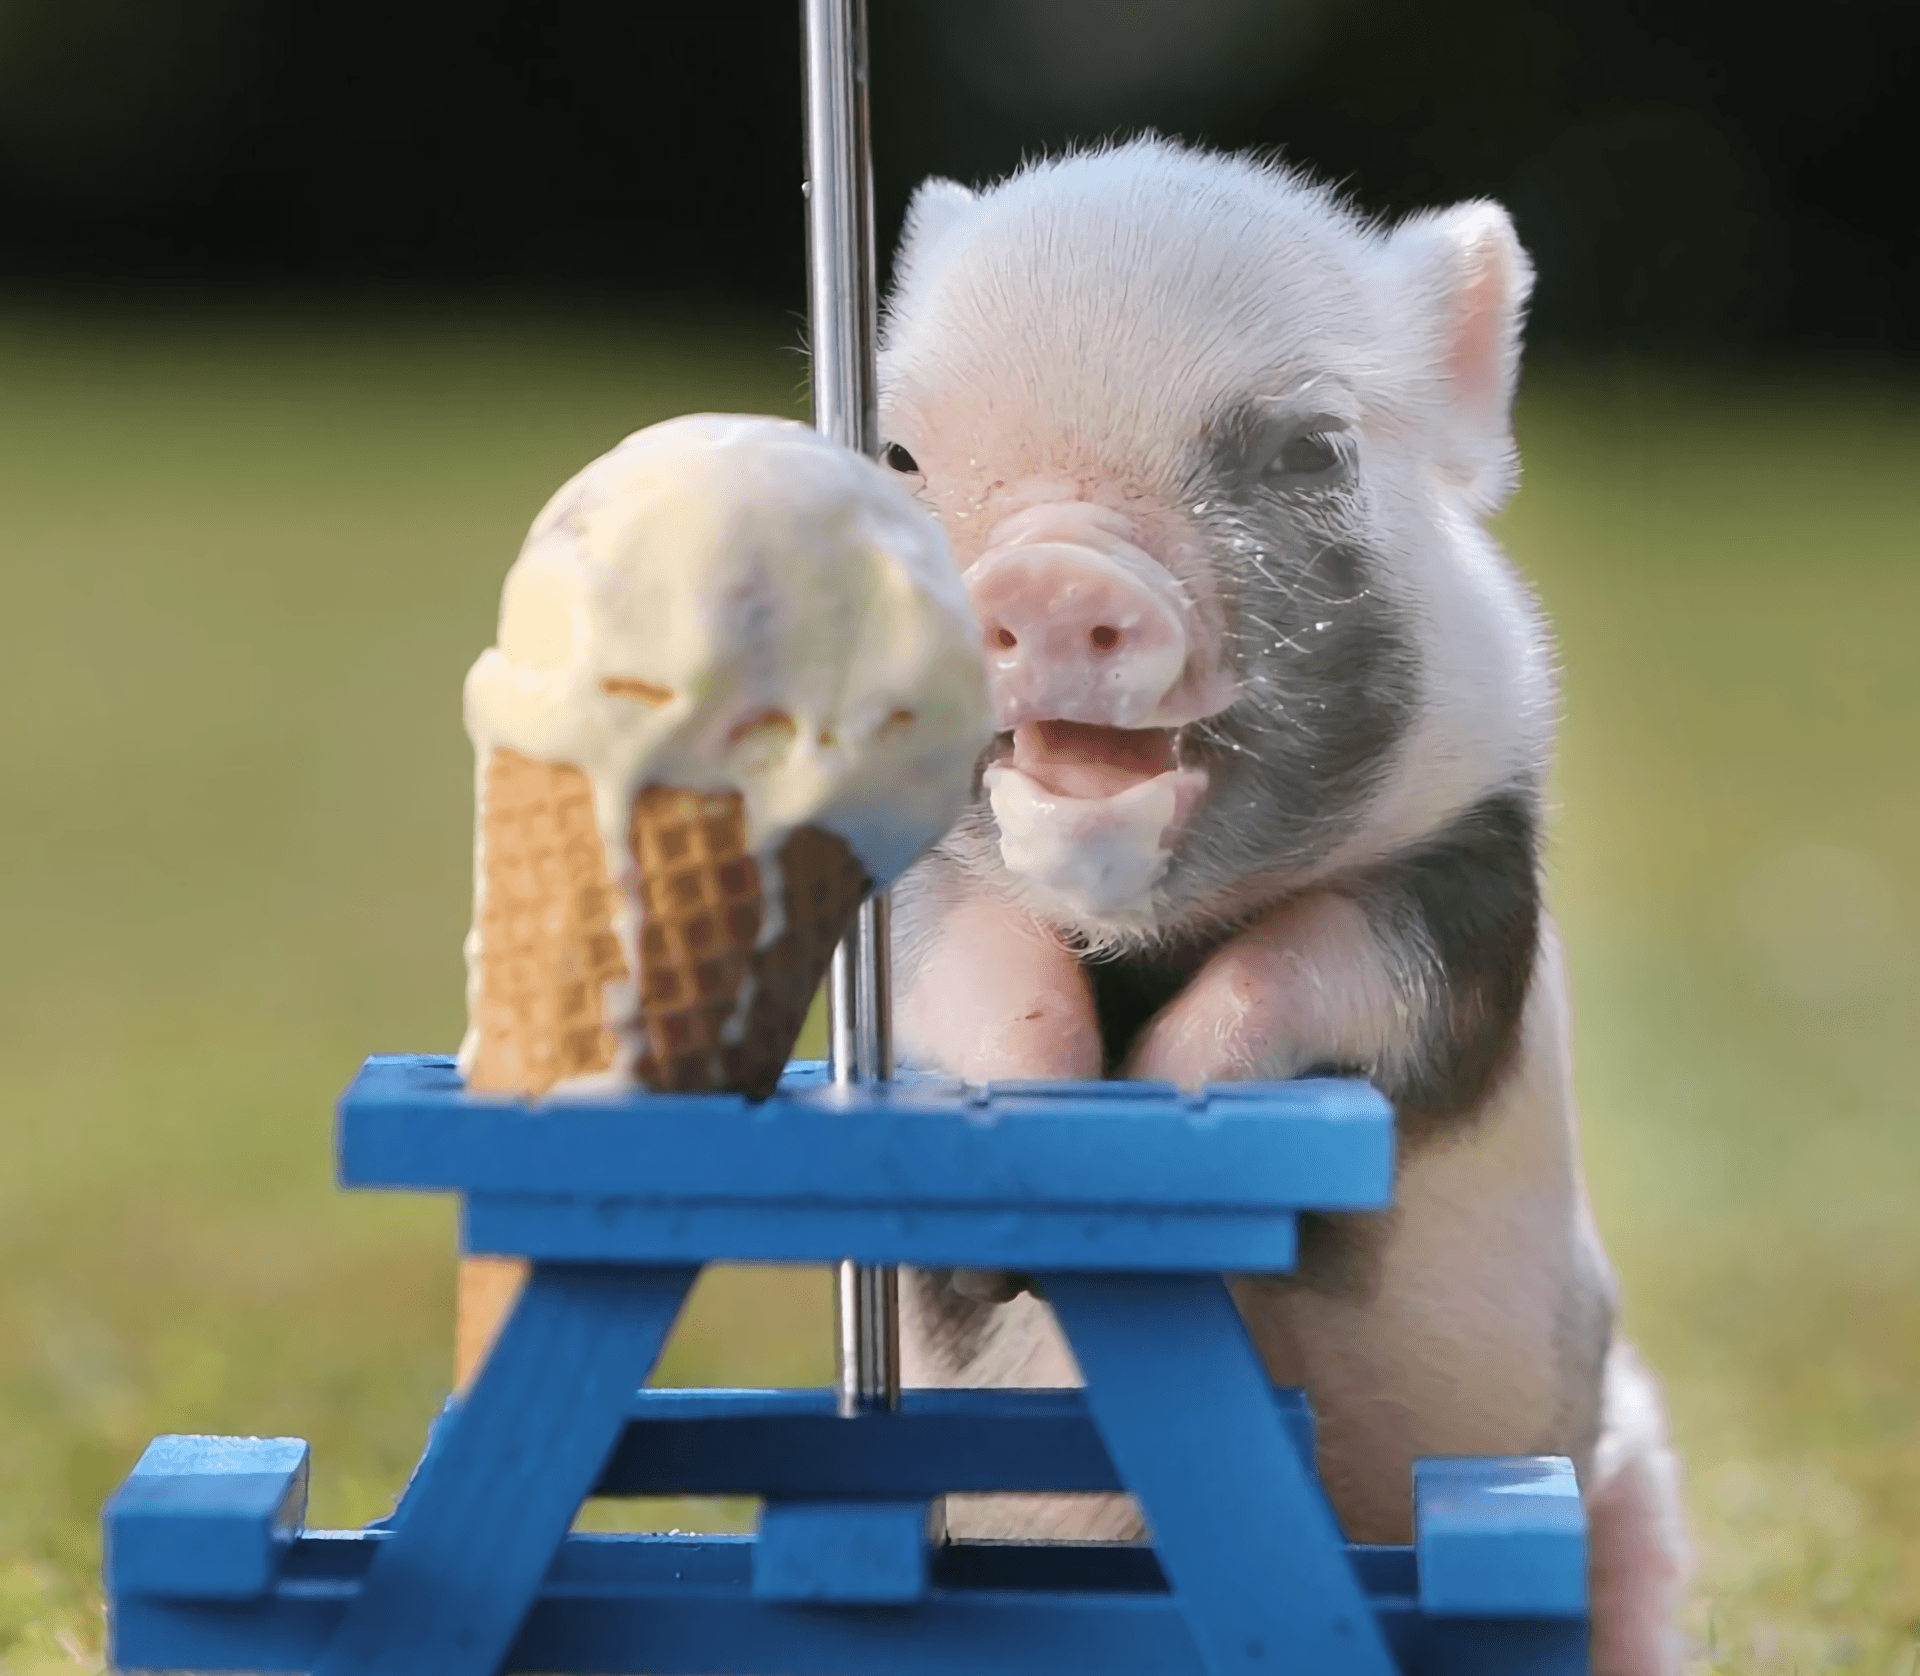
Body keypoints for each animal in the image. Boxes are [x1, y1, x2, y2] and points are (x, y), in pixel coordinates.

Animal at [875, 137, 1690, 1676]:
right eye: (895, 456)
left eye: (1311, 450)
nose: (1055, 567)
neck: (1141, 942)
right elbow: (964, 959)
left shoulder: (1476, 893)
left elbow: (1325, 962)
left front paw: (1171, 1090)